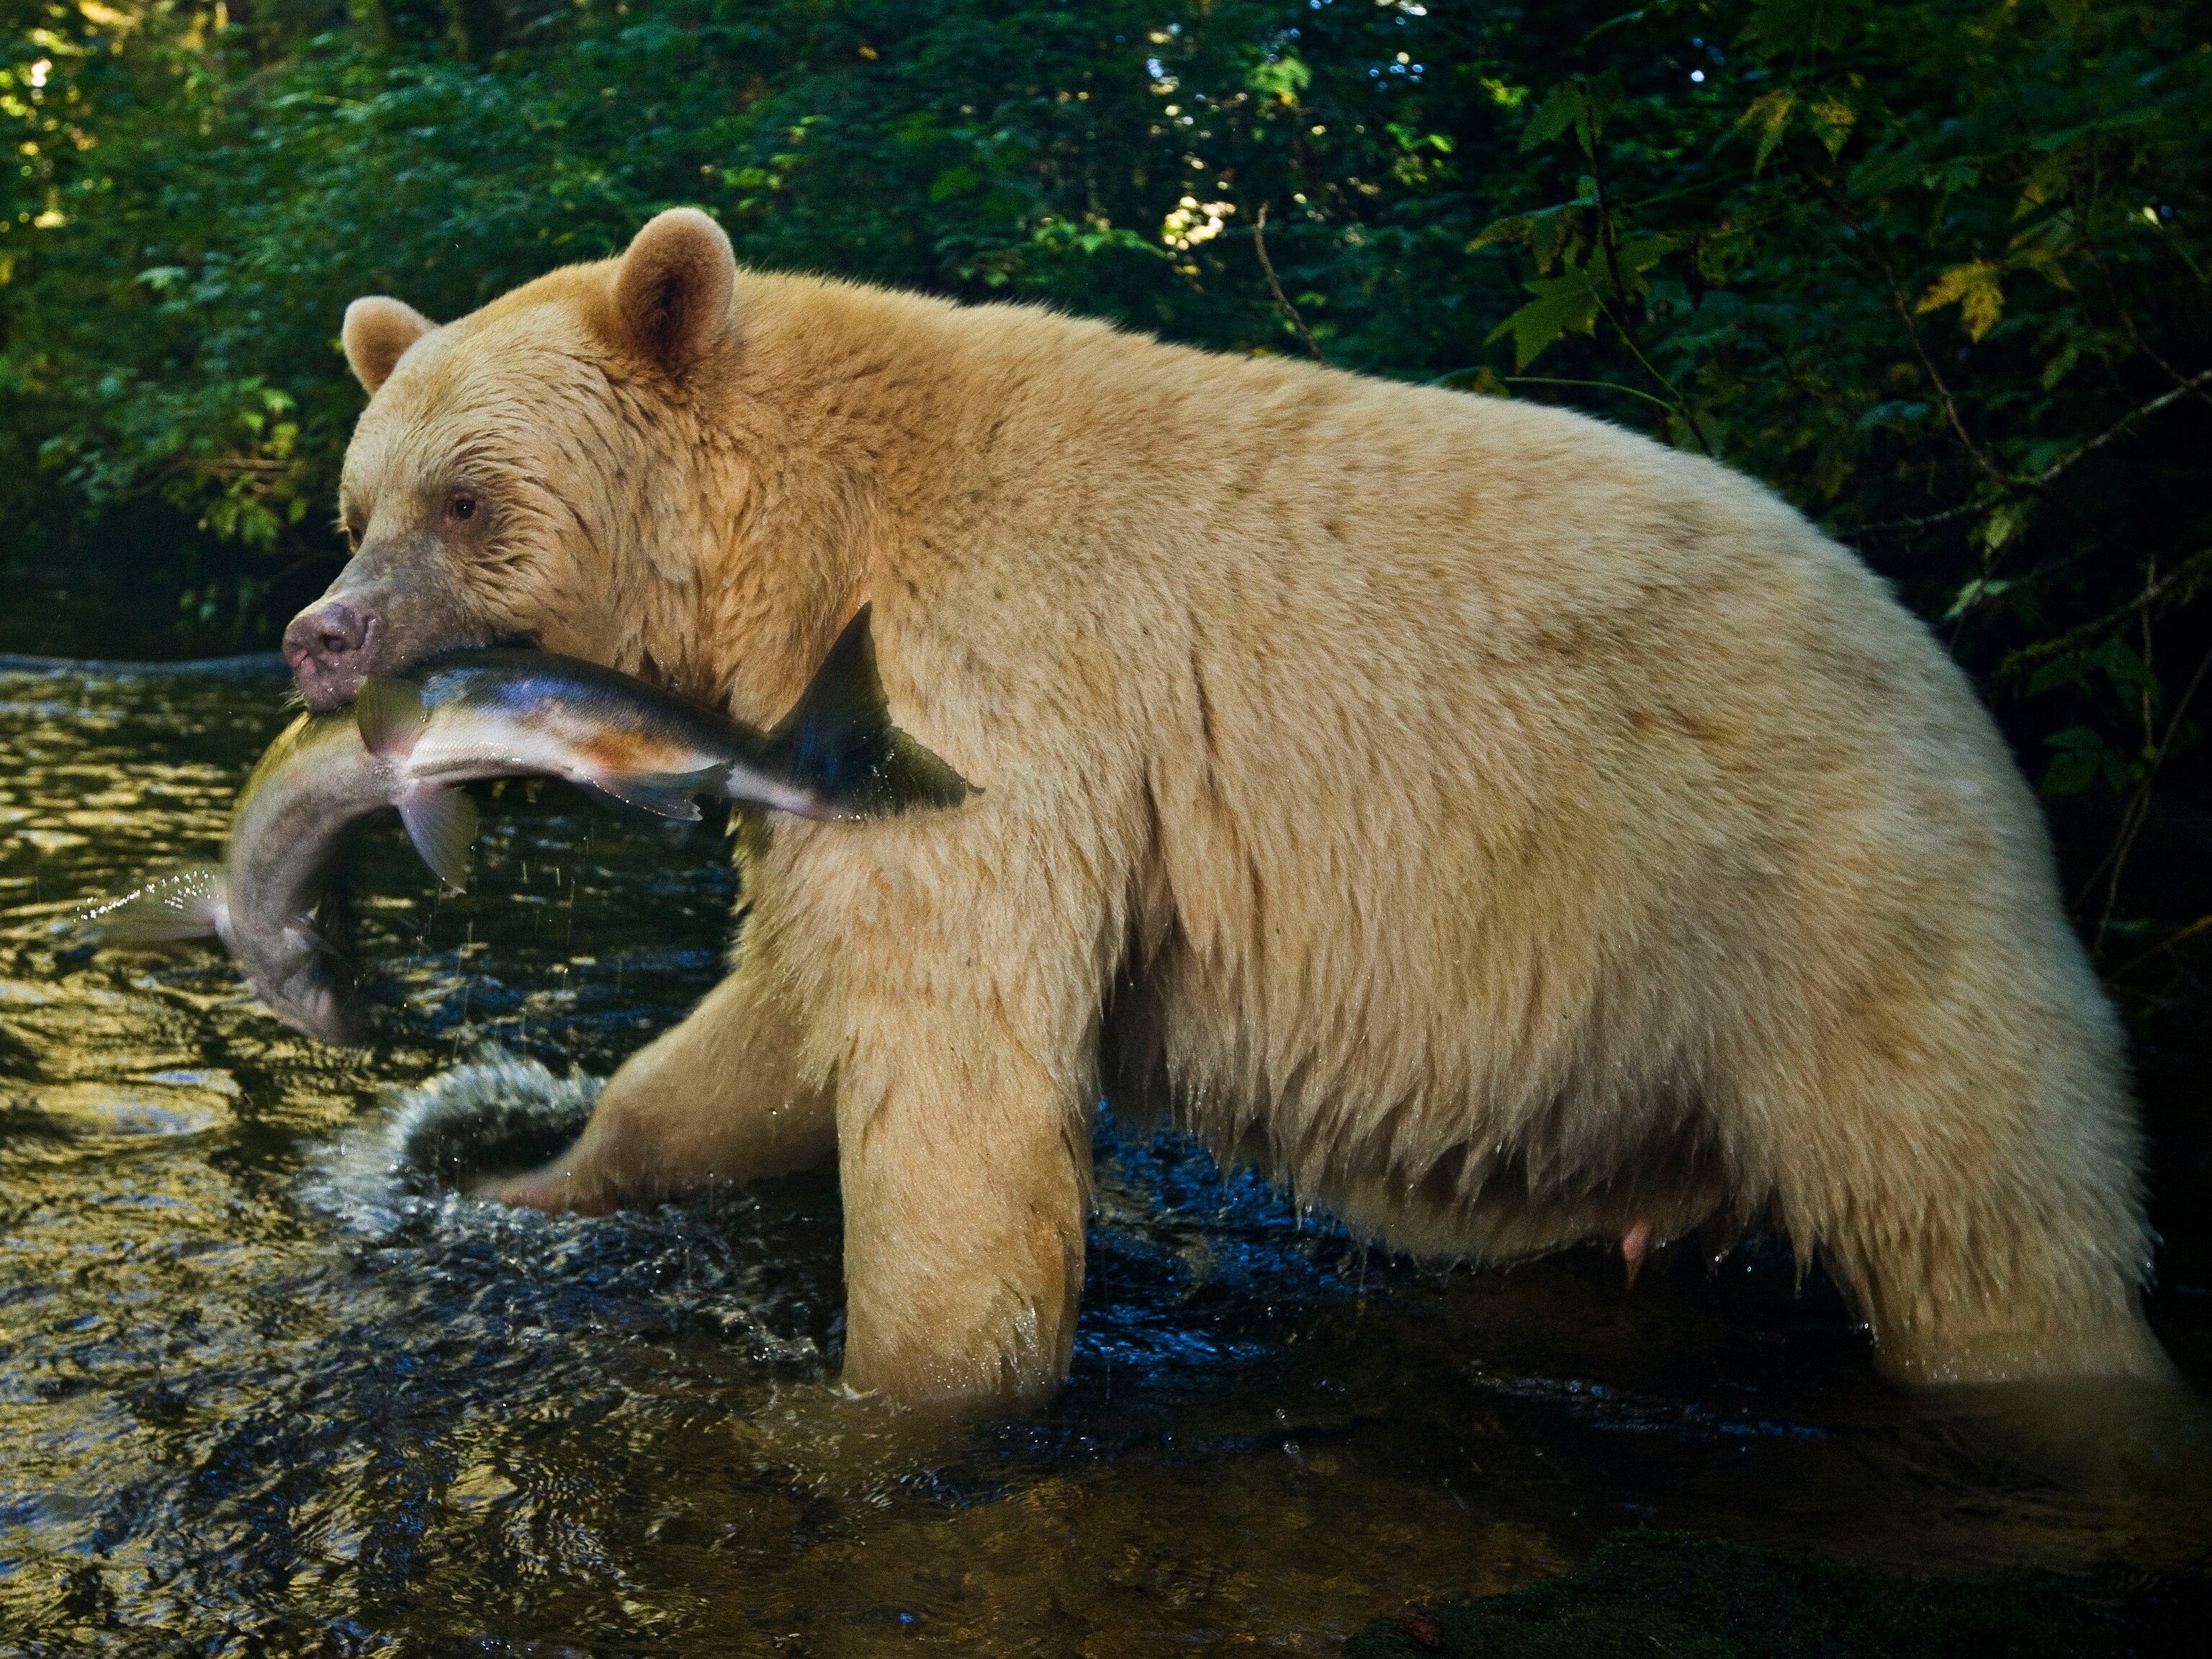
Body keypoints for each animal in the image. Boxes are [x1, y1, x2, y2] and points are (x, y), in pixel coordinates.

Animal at [285, 207, 2169, 1409]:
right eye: (356, 502)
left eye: (468, 500)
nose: (318, 635)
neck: (796, 557)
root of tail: (1947, 672)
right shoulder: (834, 787)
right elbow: (769, 1033)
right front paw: (522, 1176)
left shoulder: (993, 696)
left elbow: (957, 1081)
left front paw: (887, 1403)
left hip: (1821, 909)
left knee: (1987, 1233)